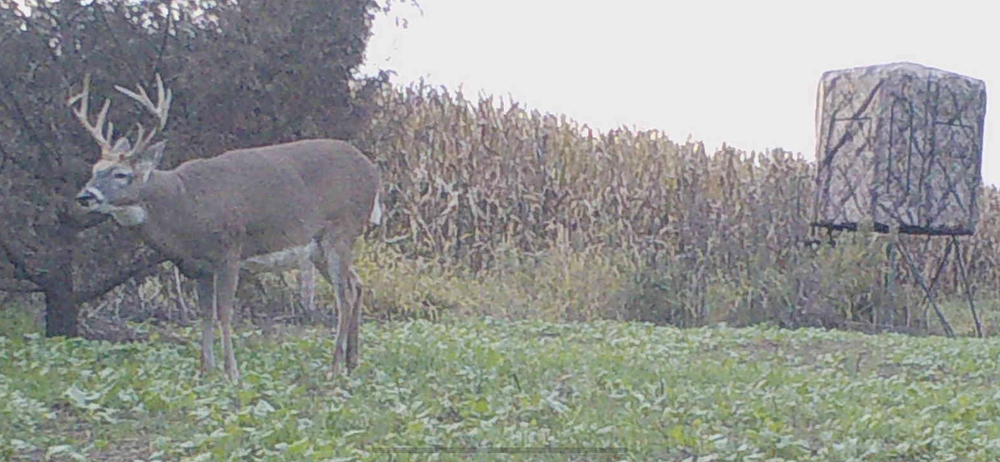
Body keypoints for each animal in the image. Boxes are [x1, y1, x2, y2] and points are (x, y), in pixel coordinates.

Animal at [69, 74, 381, 382]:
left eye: (121, 174)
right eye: (94, 169)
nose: (85, 196)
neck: (184, 205)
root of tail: (373, 171)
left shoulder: (230, 251)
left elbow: (224, 312)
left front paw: (232, 373)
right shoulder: (198, 267)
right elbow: (205, 314)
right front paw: (205, 371)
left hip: (341, 230)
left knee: (345, 295)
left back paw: (334, 368)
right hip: (317, 249)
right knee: (357, 284)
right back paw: (352, 362)